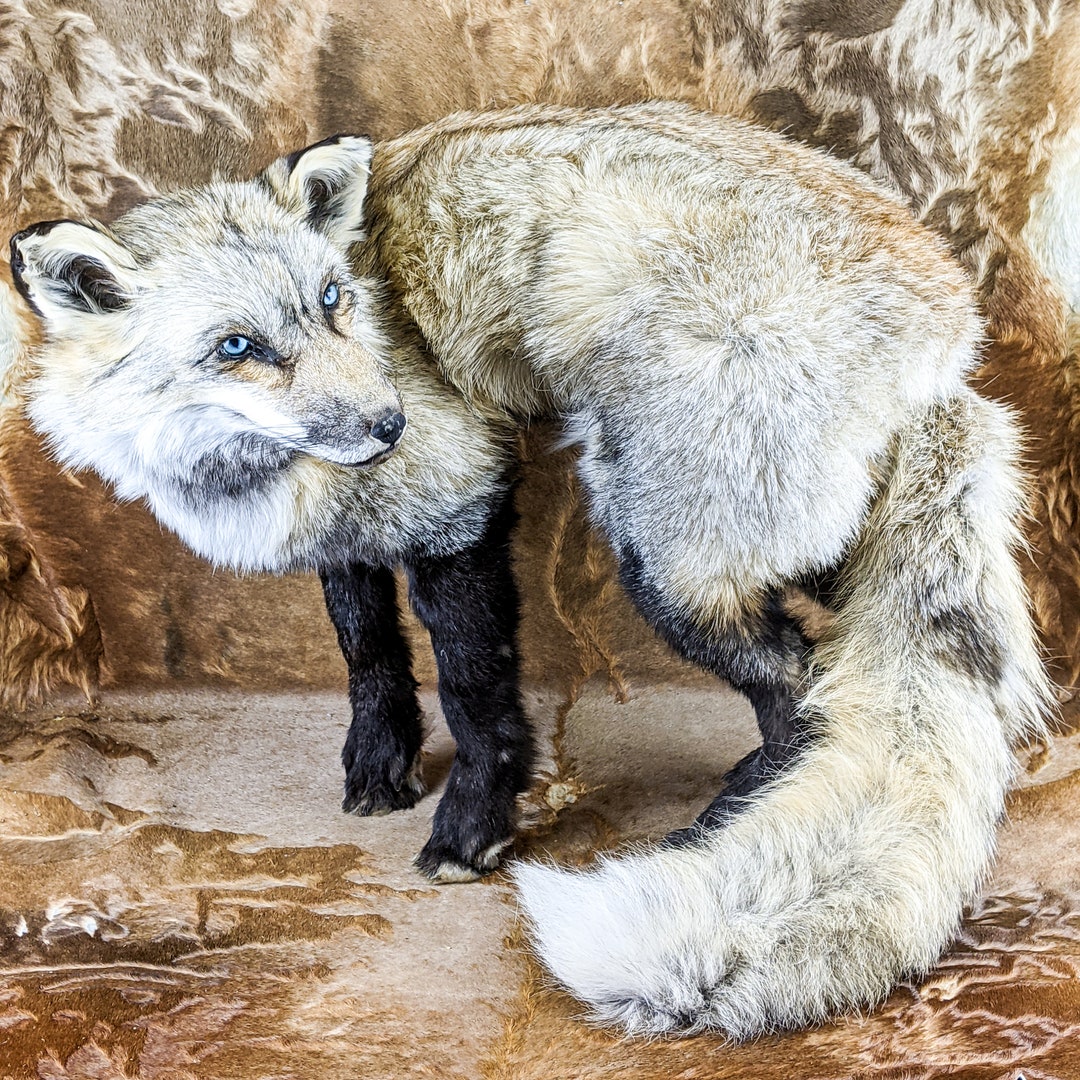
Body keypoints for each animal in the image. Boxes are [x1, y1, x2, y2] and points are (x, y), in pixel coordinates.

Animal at [10, 101, 1052, 1039]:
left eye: (334, 301)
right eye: (237, 347)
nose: (389, 423)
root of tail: (946, 333)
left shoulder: (460, 499)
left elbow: (473, 688)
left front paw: (474, 823)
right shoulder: (355, 529)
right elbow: (368, 651)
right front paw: (382, 762)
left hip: (660, 552)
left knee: (801, 684)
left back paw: (745, 808)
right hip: (809, 543)